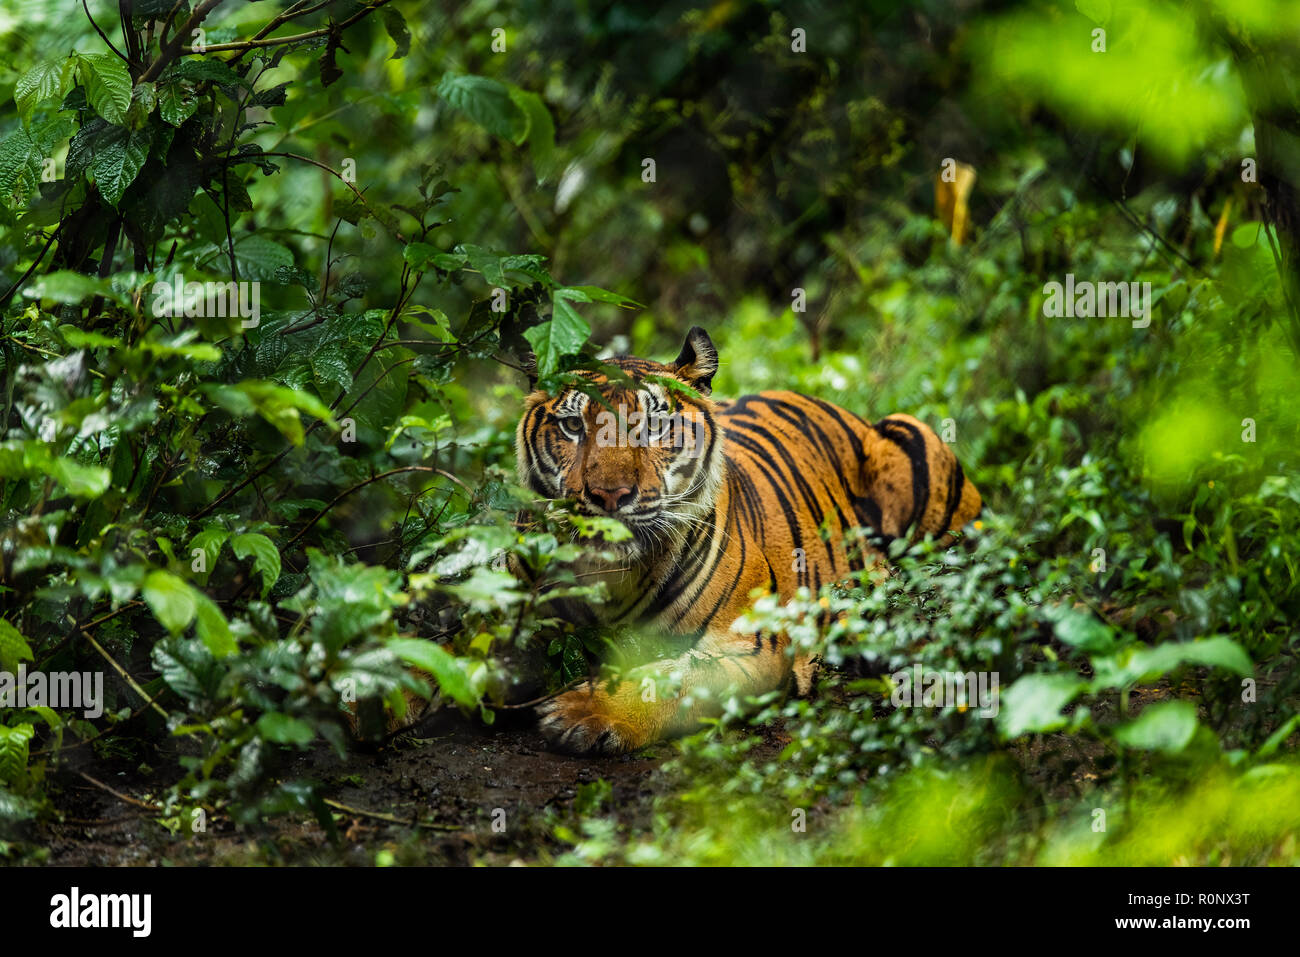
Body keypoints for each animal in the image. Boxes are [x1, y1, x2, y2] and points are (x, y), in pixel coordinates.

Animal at [517, 327, 982, 754]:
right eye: (573, 426)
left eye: (654, 427)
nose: (609, 494)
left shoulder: (752, 644)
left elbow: (668, 678)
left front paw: (583, 712)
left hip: (912, 439)